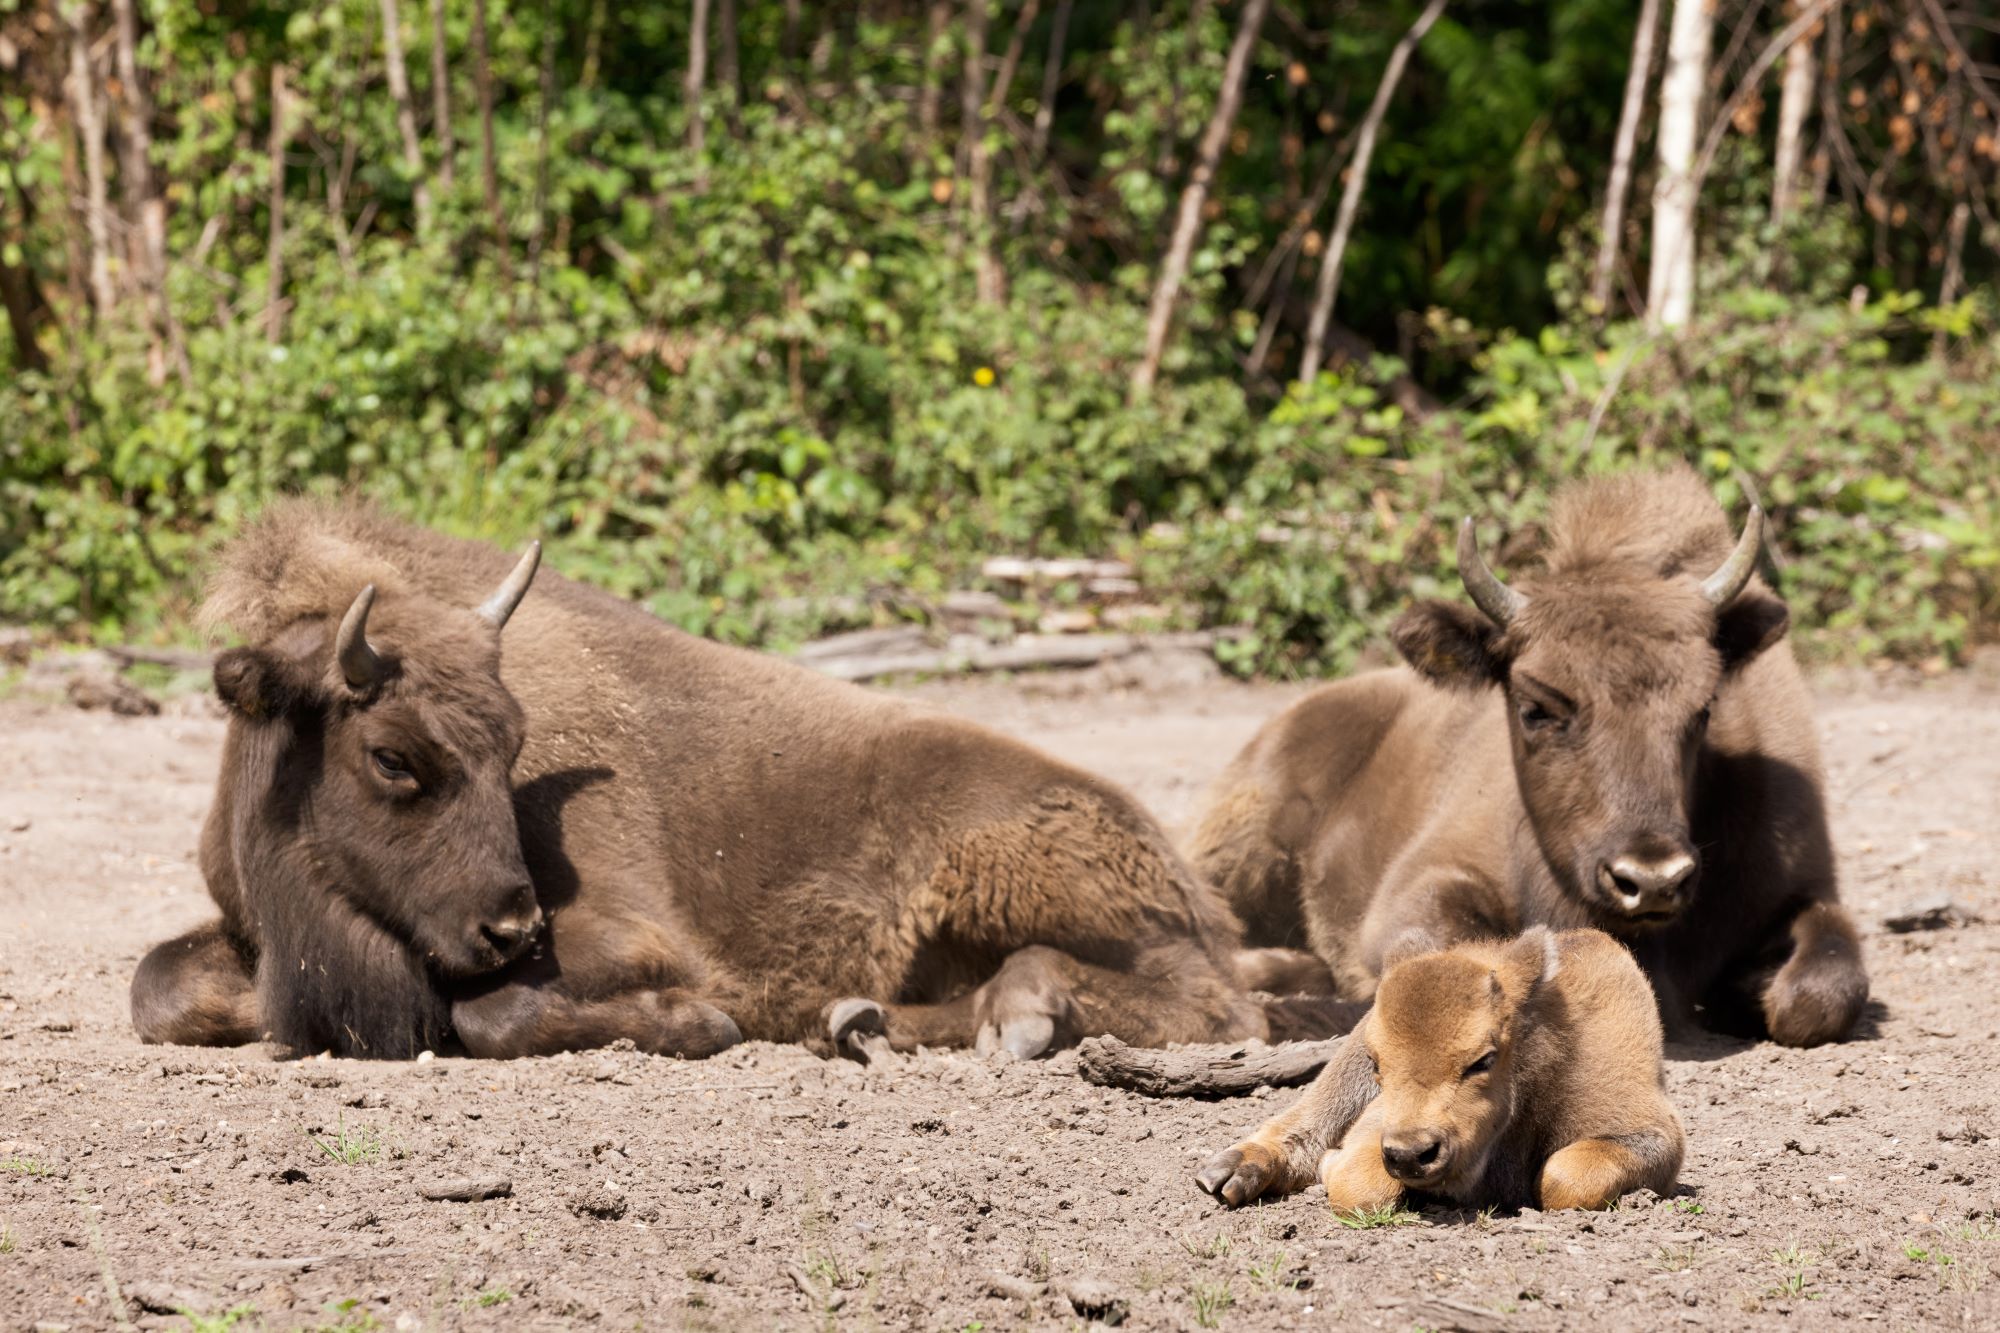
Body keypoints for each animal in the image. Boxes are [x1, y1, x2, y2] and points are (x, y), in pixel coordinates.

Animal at [132, 501, 1270, 1059]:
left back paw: (1023, 1014)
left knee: (1217, 1005)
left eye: (514, 742)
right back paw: (865, 1025)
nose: (511, 925)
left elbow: (491, 1015)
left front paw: (697, 1025)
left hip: (1019, 877)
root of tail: (1176, 866)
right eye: (392, 755)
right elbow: (156, 985)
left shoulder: (629, 939)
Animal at [1187, 467, 1869, 1047]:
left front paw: (1744, 992)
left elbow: (1822, 991)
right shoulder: (1425, 881)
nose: (1650, 879)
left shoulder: (1805, 885)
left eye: (1703, 708)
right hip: (1247, 853)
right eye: (1536, 707)